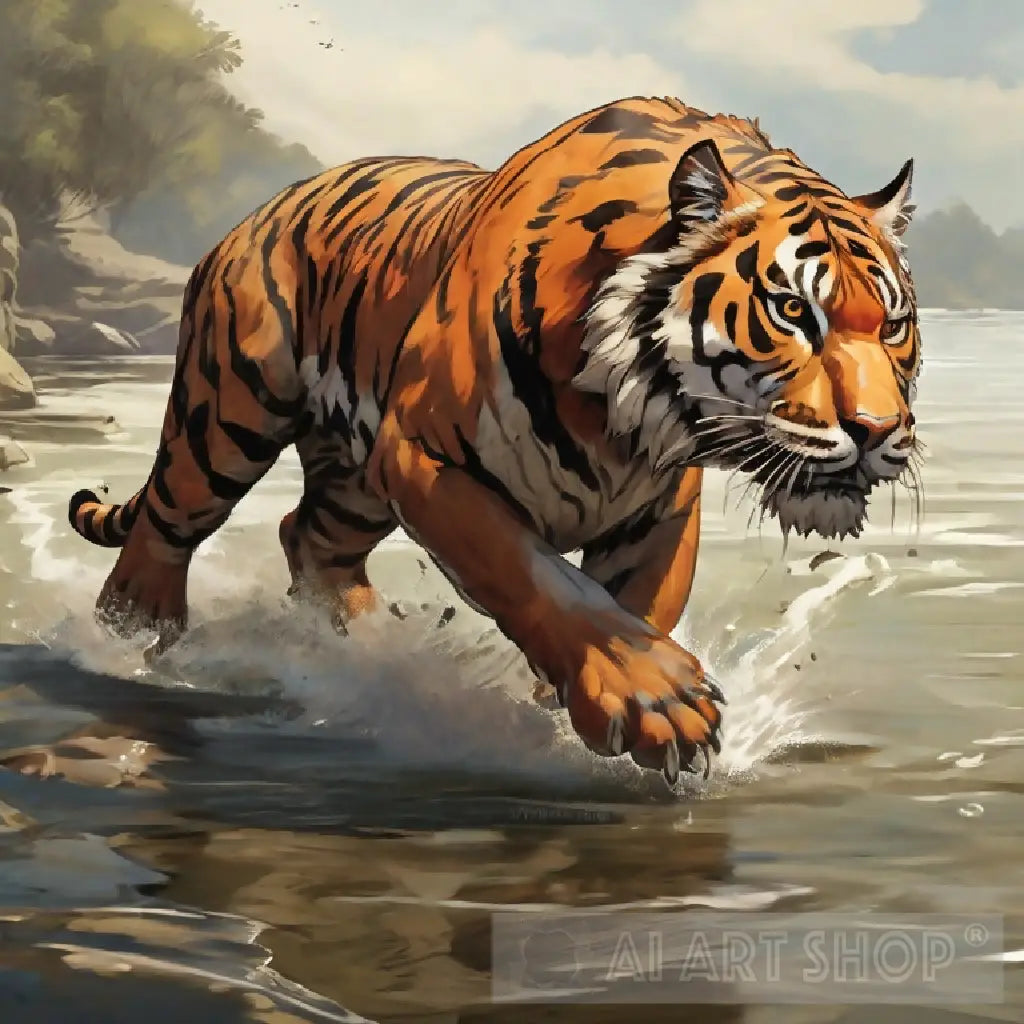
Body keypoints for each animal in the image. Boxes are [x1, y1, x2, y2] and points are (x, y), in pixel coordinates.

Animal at [68, 95, 921, 785]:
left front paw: (573, 712)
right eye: (793, 312)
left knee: (306, 536)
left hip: (354, 481)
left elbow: (637, 603)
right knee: (167, 522)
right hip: (231, 414)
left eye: (893, 325)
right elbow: (539, 578)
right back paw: (133, 636)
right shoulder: (426, 459)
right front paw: (654, 699)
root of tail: (257, 213)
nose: (877, 430)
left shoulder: (659, 512)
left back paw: (373, 649)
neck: (623, 413)